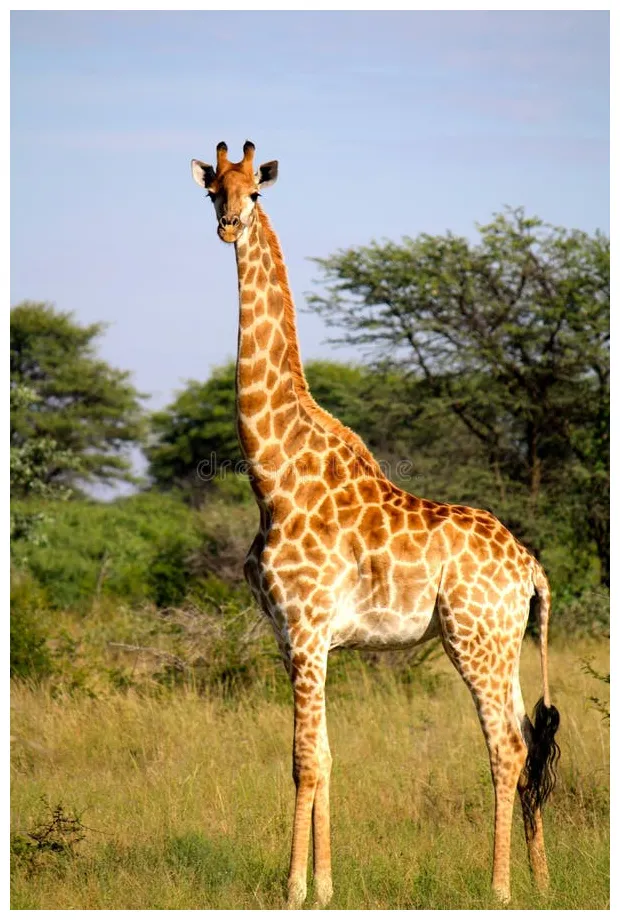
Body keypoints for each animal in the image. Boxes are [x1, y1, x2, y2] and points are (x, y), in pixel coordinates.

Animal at [191, 141, 560, 909]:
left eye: (254, 192)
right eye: (212, 190)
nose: (229, 225)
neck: (272, 477)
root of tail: (532, 568)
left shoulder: (306, 628)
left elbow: (303, 759)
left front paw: (292, 889)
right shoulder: (295, 637)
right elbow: (324, 755)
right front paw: (326, 887)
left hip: (473, 639)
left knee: (507, 747)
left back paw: (499, 888)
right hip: (505, 643)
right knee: (529, 738)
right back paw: (543, 882)